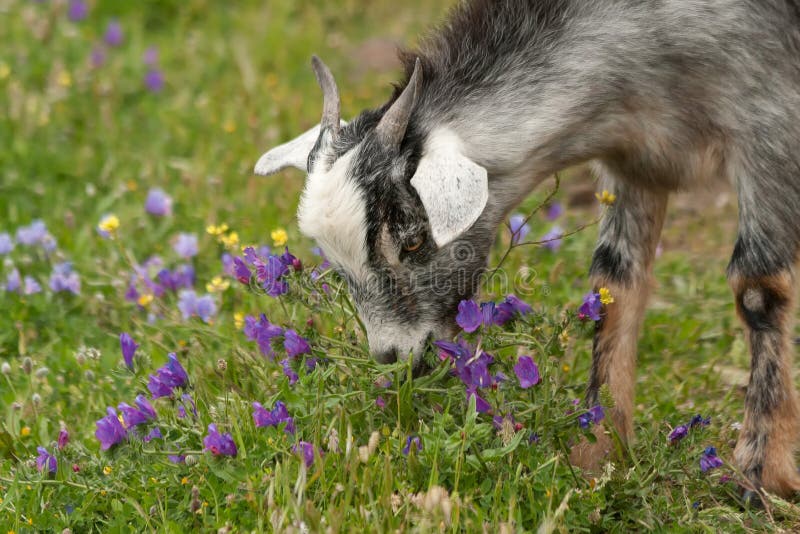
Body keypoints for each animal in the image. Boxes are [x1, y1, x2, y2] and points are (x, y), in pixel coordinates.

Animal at [254, 0, 800, 498]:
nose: (395, 359)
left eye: (412, 239)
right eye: (337, 264)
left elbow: (756, 287)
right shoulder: (636, 162)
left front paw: (761, 473)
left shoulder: (770, 123)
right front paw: (599, 451)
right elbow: (613, 285)